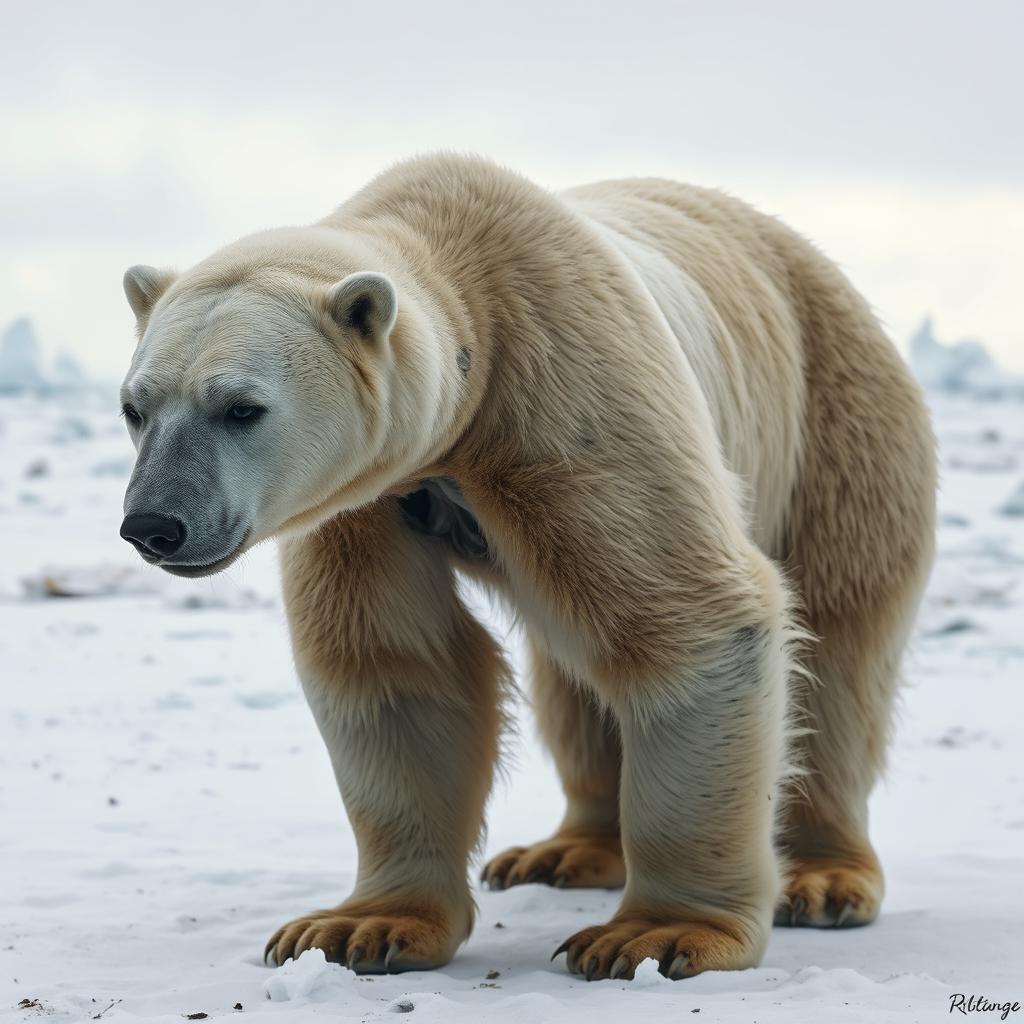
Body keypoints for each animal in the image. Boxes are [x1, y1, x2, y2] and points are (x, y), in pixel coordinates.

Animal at [118, 153, 936, 980]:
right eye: (135, 407)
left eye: (241, 408)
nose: (153, 524)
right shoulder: (370, 502)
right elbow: (394, 664)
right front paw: (357, 928)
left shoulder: (567, 401)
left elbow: (694, 625)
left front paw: (654, 935)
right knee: (574, 676)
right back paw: (563, 853)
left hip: (832, 427)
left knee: (835, 657)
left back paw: (822, 879)